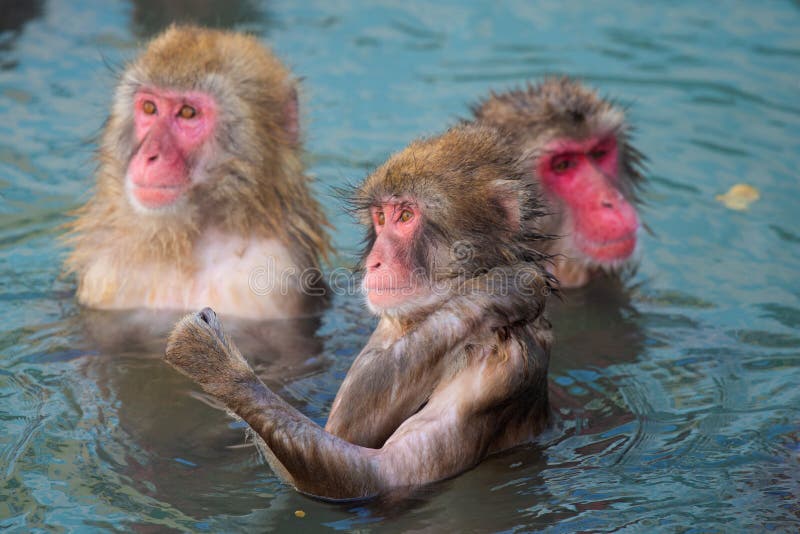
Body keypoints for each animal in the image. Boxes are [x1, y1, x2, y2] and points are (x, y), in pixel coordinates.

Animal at [63, 25, 331, 320]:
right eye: (149, 108)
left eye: (188, 113)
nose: (149, 155)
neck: (183, 242)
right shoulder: (102, 272)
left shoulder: (269, 277)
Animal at [164, 124, 556, 500]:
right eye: (381, 217)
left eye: (407, 215)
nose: (375, 260)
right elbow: (351, 431)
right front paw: (499, 289)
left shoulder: (500, 366)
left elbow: (382, 475)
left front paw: (221, 369)